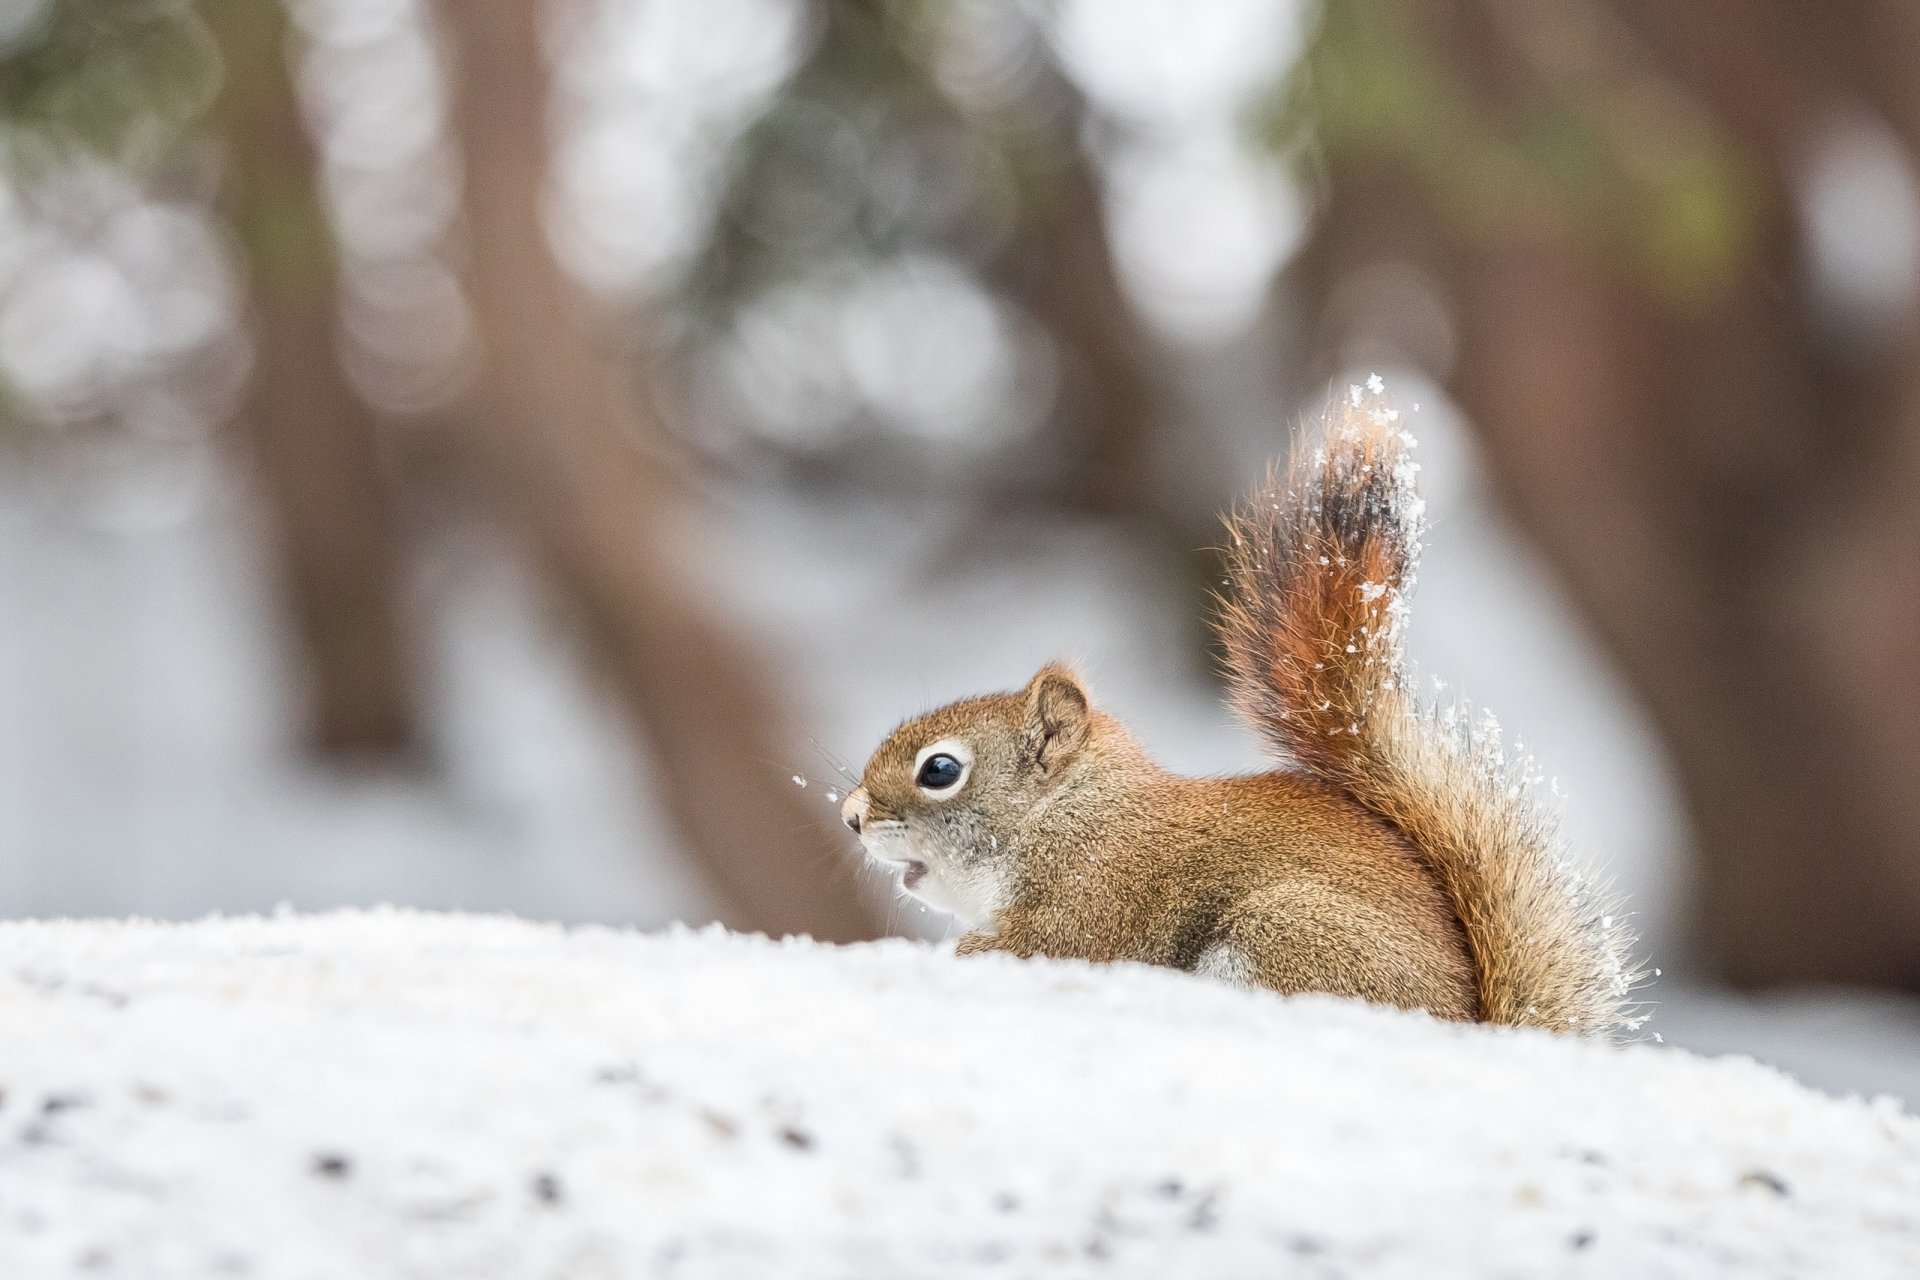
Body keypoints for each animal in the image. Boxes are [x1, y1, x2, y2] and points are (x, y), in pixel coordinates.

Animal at [840, 390, 1640, 1037]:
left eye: (940, 770)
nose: (849, 816)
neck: (1067, 811)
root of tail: (1467, 1023)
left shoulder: (1092, 895)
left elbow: (1042, 945)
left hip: (1288, 932)